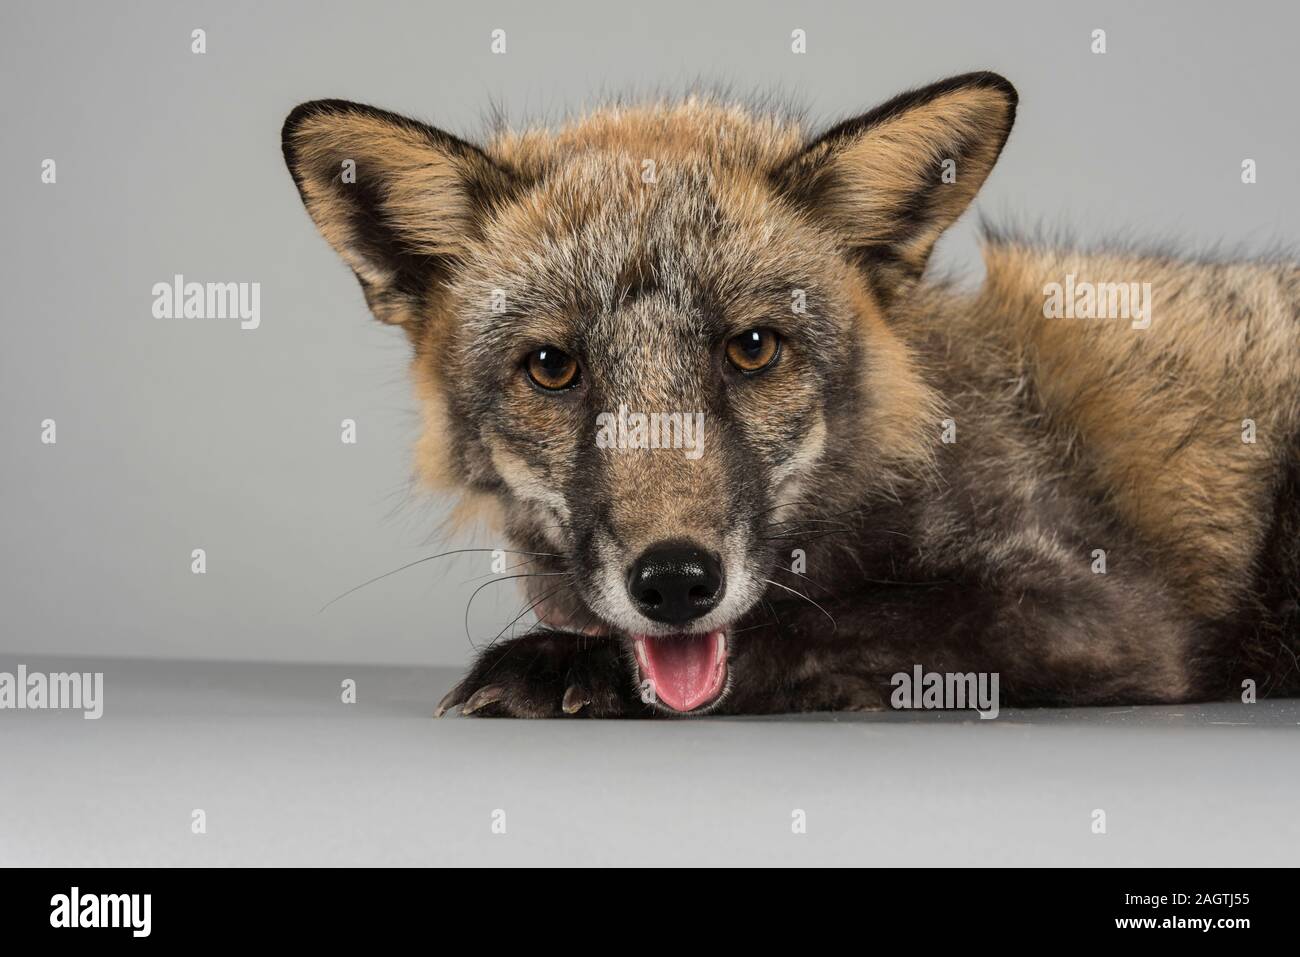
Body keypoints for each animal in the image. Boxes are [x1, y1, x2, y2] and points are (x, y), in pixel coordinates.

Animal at [281, 72, 1300, 718]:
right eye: (553, 367)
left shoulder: (1104, 610)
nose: (676, 582)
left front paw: (574, 666)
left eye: (753, 349)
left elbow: (844, 619)